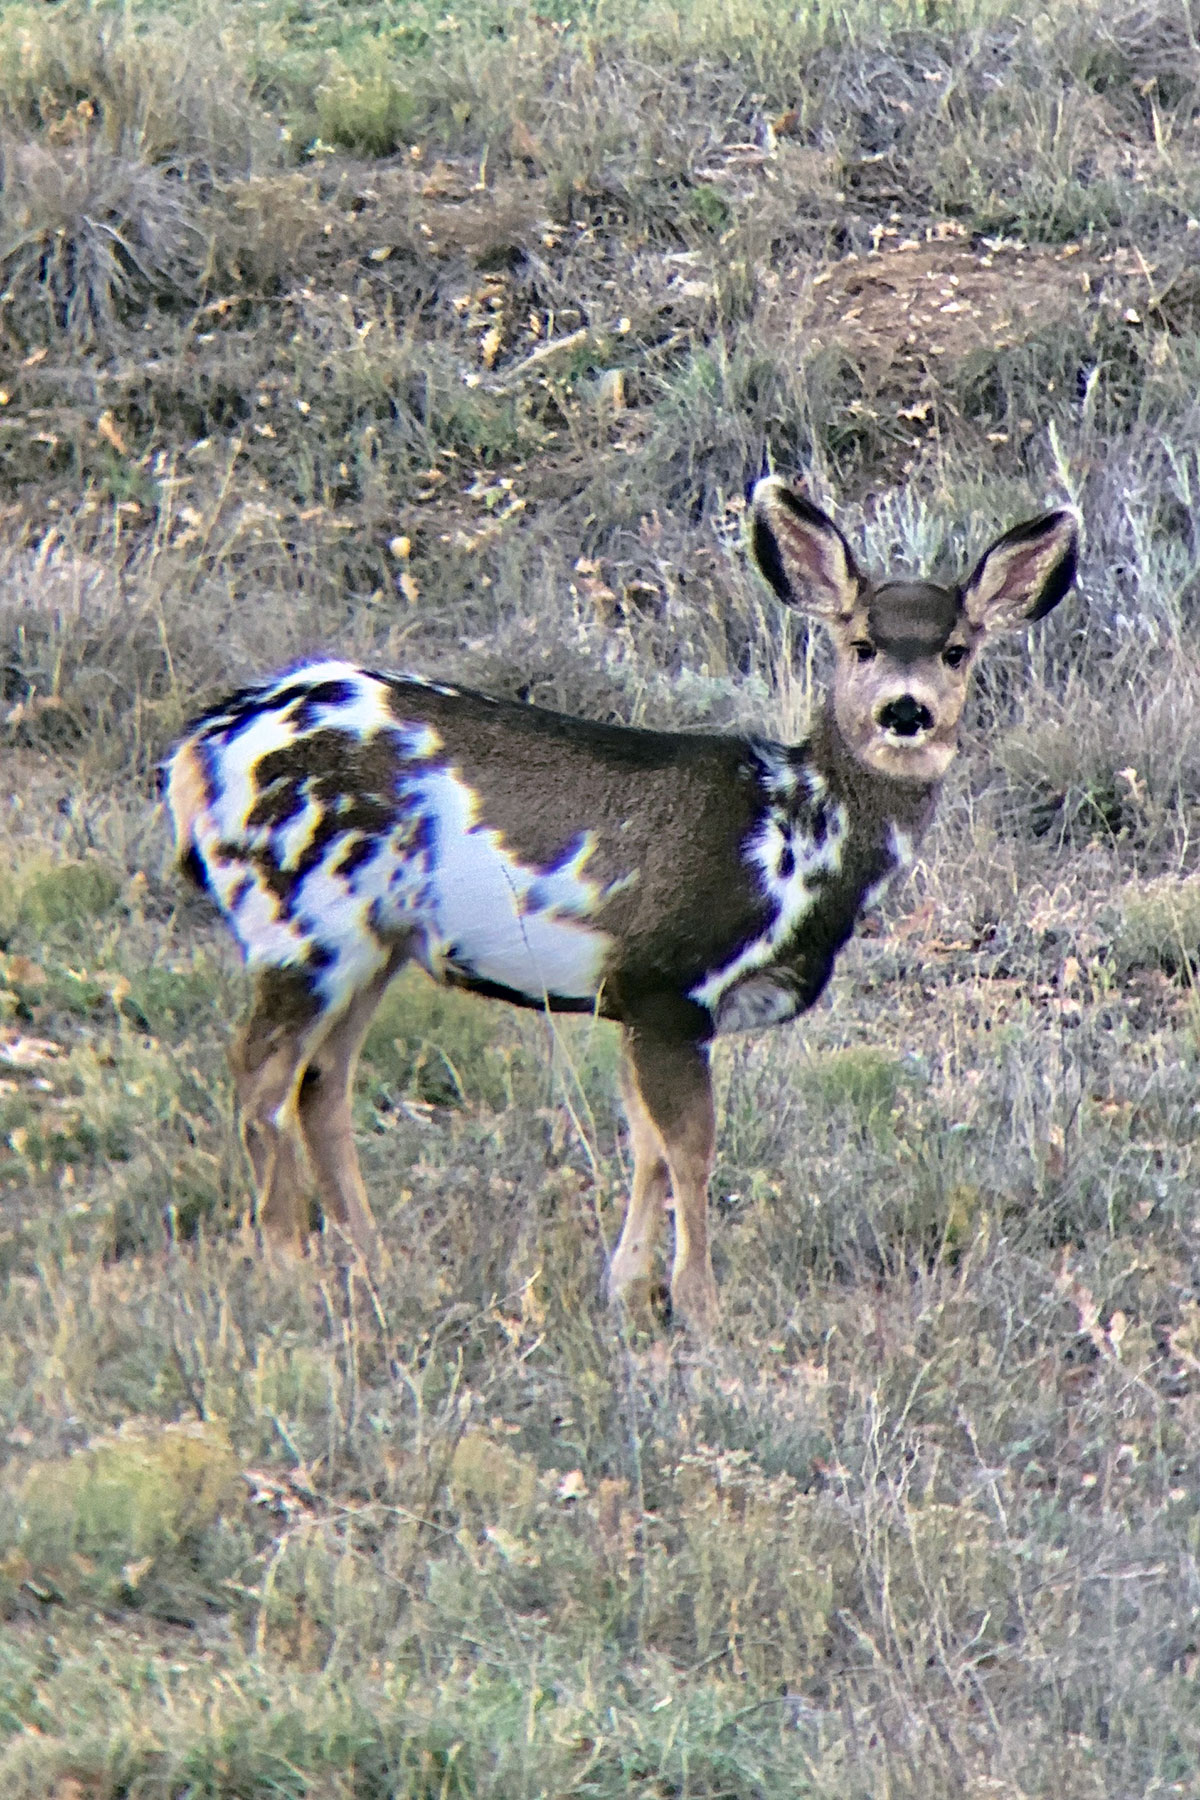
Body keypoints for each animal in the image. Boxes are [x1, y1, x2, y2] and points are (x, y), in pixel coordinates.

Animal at [166, 478, 1077, 1333]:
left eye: (956, 651)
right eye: (860, 644)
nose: (905, 710)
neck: (795, 836)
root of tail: (197, 753)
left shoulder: (636, 1002)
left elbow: (646, 1147)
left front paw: (632, 1292)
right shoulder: (671, 983)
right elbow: (691, 1149)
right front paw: (701, 1306)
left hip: (370, 942)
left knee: (321, 1081)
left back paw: (376, 1262)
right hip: (299, 920)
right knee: (259, 1073)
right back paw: (288, 1270)